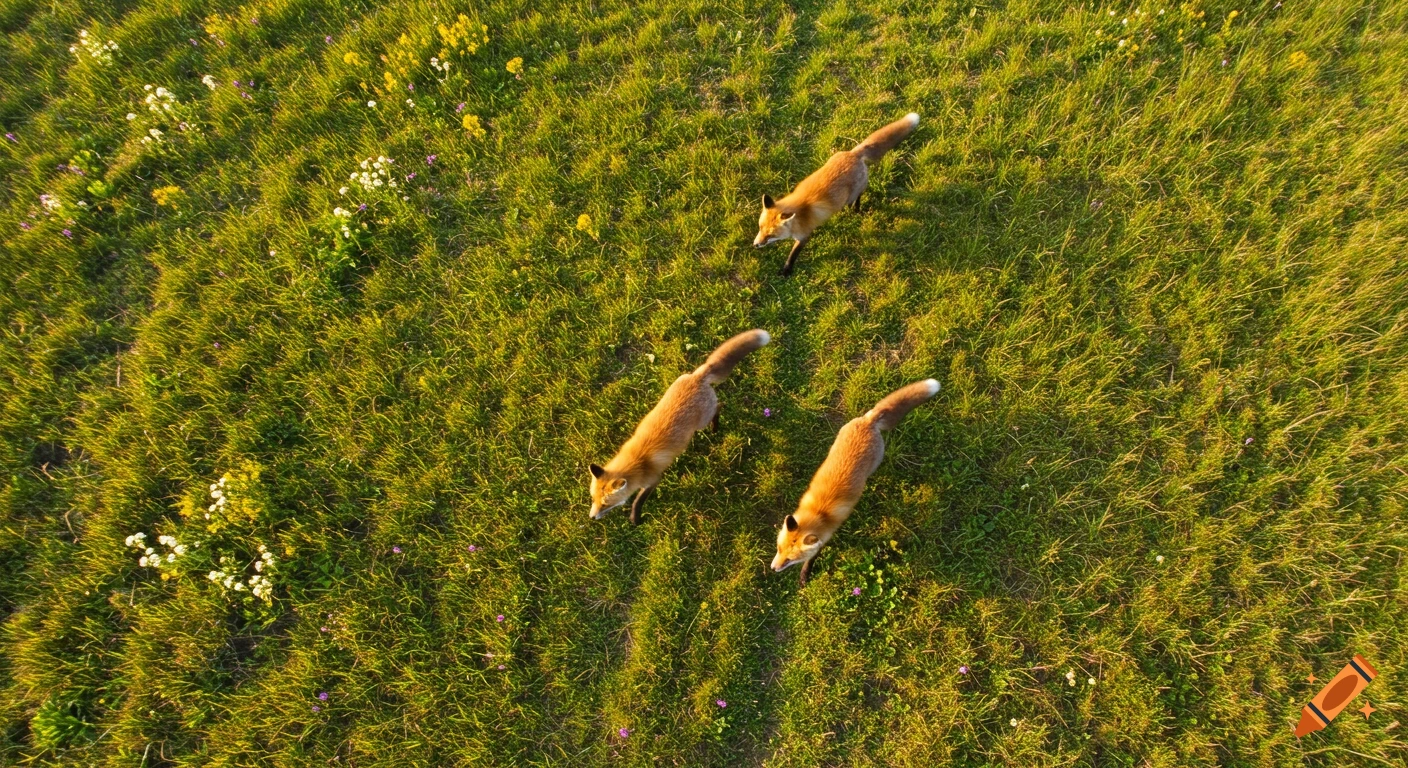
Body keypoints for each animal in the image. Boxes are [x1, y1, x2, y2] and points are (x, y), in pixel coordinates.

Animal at [589, 329, 772, 524]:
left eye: (605, 504)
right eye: (593, 499)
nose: (592, 517)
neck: (637, 460)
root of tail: (697, 377)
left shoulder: (654, 479)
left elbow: (638, 501)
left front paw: (635, 518)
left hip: (702, 421)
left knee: (719, 407)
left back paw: (715, 428)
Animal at [754, 112, 920, 276]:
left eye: (771, 235)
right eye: (760, 228)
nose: (755, 245)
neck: (799, 212)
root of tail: (854, 154)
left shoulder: (804, 236)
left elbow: (793, 255)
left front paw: (787, 270)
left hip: (853, 194)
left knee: (858, 197)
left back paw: (855, 210)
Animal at [772, 378, 940, 585]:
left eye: (790, 559)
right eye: (779, 549)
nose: (773, 568)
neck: (818, 512)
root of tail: (869, 420)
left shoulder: (827, 536)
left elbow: (812, 558)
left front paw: (805, 573)